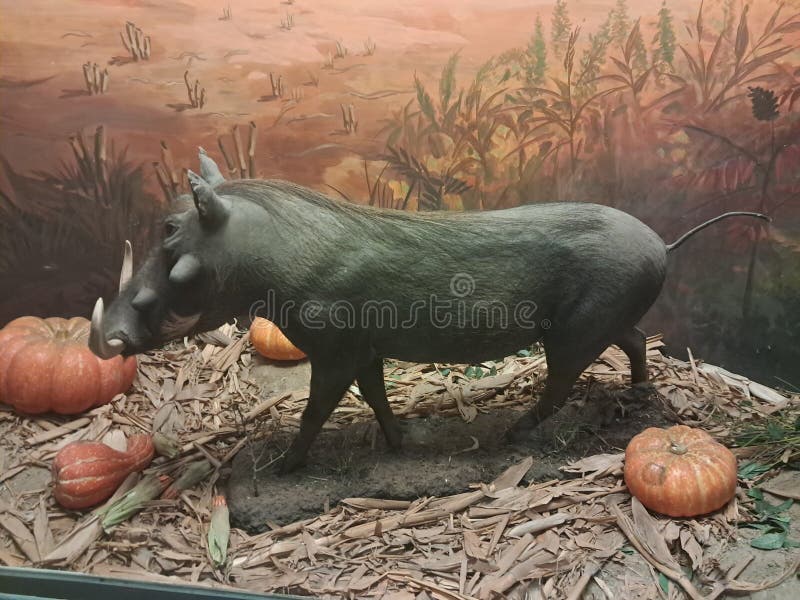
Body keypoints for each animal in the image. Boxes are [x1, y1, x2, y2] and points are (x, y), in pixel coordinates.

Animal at [89, 149, 768, 472]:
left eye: (171, 235)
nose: (103, 340)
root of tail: (664, 244)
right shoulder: (362, 353)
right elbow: (377, 397)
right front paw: (397, 447)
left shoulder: (334, 354)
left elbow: (314, 413)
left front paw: (286, 467)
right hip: (601, 322)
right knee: (635, 342)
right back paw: (638, 396)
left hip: (573, 335)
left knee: (560, 386)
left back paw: (513, 434)